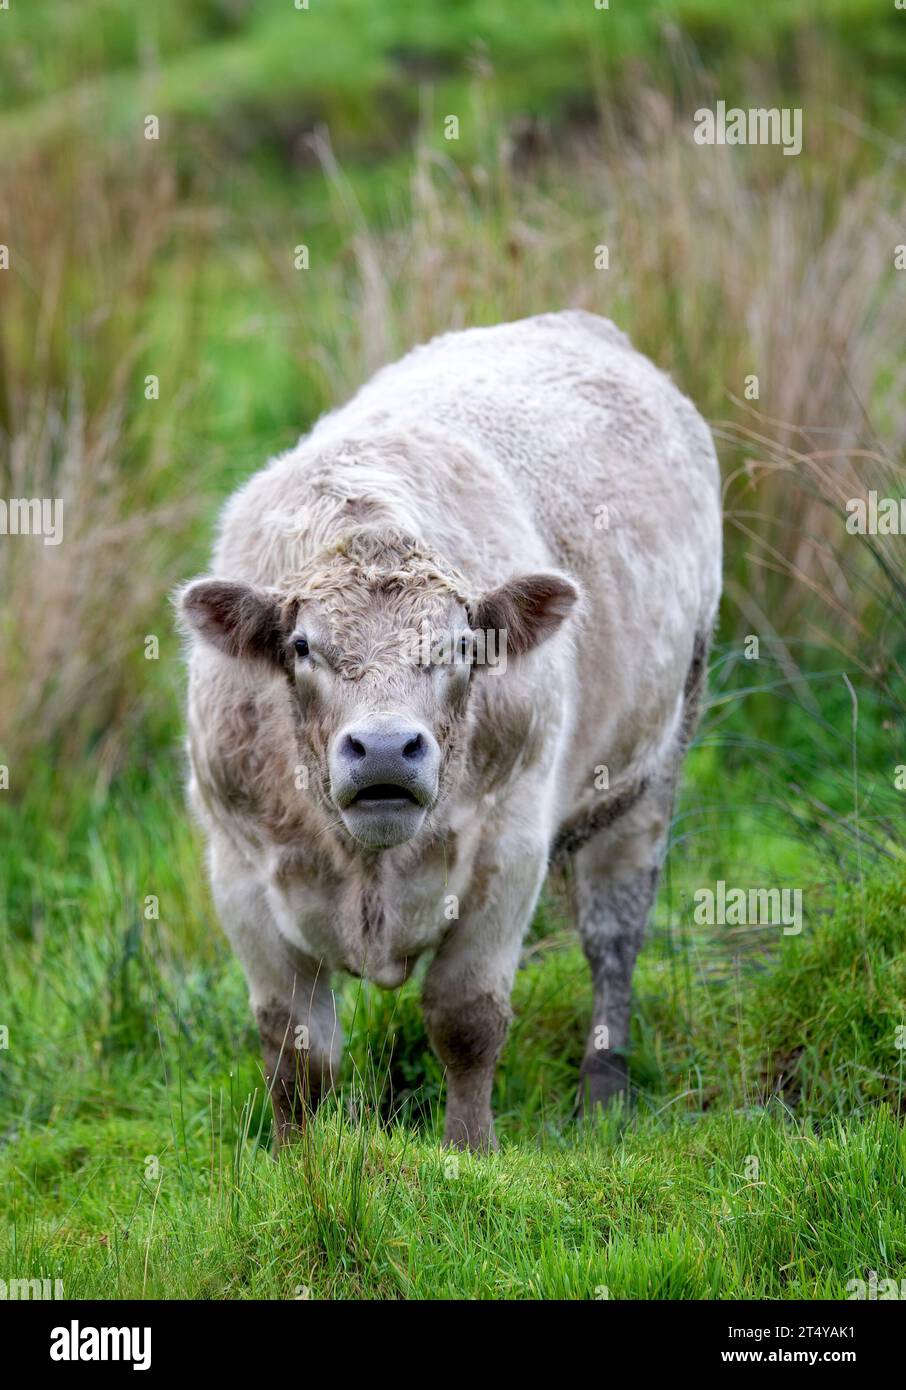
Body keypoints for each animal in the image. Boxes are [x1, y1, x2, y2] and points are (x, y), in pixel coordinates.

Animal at [179, 310, 722, 1150]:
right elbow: (297, 1052)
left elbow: (466, 1021)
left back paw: (604, 1095)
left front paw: (470, 1150)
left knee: (614, 935)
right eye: (301, 646)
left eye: (463, 646)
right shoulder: (239, 871)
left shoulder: (510, 848)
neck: (366, 868)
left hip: (651, 768)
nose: (383, 749)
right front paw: (294, 1161)